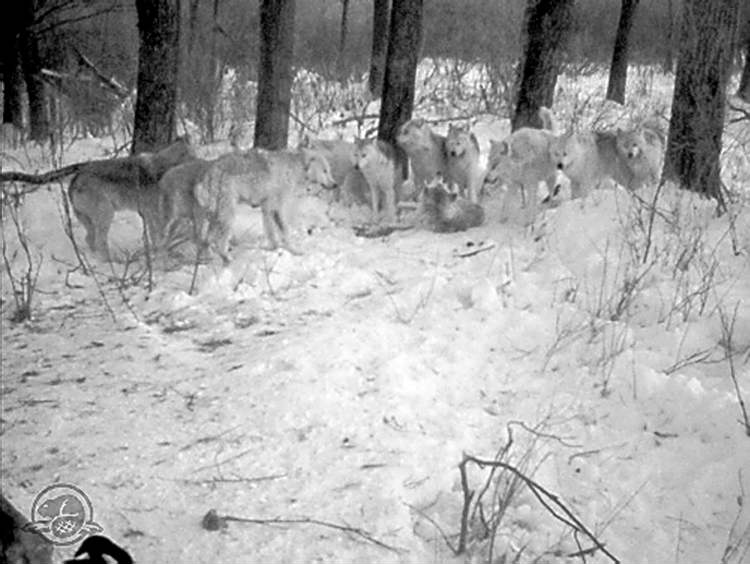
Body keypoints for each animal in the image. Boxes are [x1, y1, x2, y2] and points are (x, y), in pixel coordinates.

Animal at [67, 136, 195, 258]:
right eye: (193, 156)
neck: (164, 168)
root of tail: (74, 181)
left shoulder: (149, 214)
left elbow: (155, 238)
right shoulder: (156, 214)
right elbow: (159, 239)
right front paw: (161, 256)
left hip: (93, 221)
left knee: (89, 239)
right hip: (107, 215)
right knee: (100, 242)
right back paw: (111, 261)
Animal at [193, 148, 336, 263]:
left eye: (329, 171)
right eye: (325, 171)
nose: (335, 185)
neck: (295, 167)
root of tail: (208, 175)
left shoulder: (267, 208)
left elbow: (271, 232)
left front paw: (271, 248)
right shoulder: (278, 208)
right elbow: (285, 232)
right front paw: (294, 251)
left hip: (216, 216)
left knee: (206, 241)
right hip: (228, 215)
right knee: (219, 244)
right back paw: (228, 260)